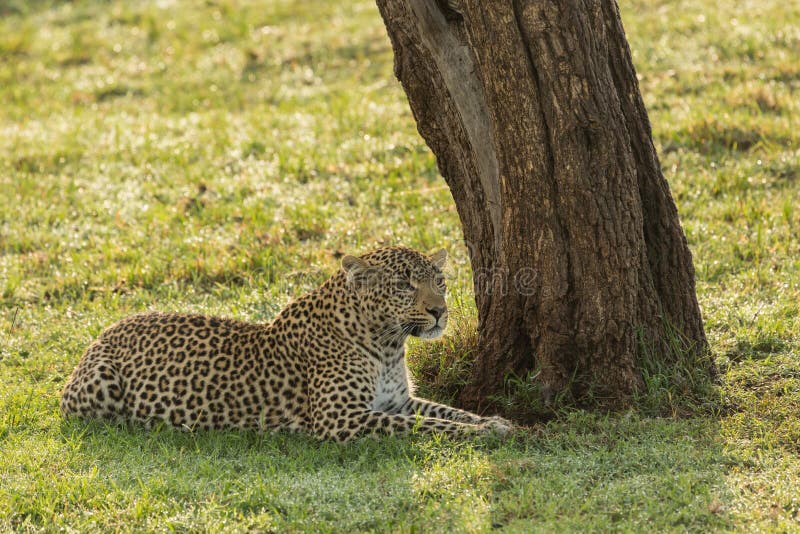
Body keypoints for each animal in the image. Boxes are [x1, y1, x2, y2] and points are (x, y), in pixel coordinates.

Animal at [61, 246, 513, 442]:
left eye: (439, 281)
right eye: (404, 285)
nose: (439, 311)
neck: (387, 346)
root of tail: (104, 331)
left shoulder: (398, 401)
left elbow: (447, 412)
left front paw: (496, 422)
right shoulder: (342, 418)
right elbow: (428, 425)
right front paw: (491, 433)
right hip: (101, 386)